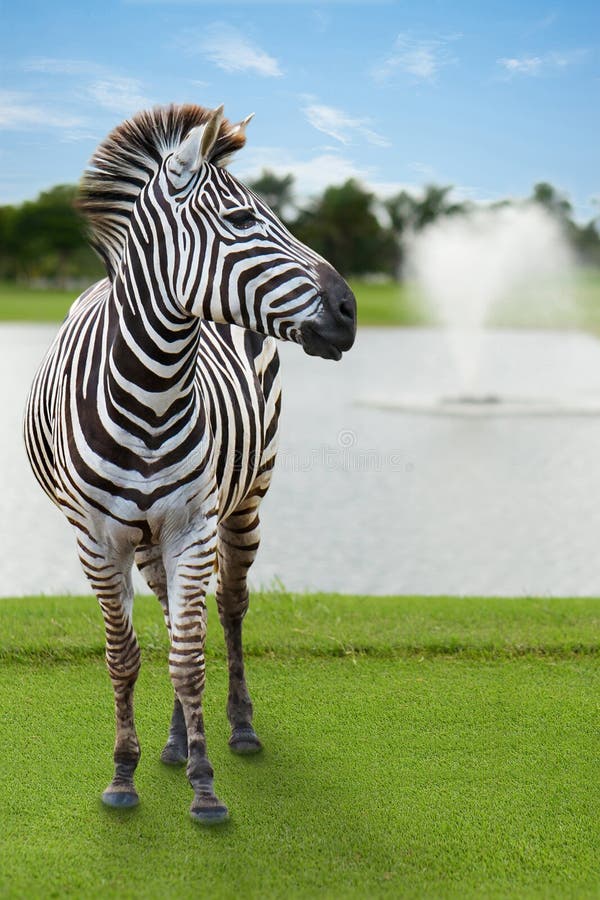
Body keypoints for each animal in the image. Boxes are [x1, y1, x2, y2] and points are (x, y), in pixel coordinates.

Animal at [24, 103, 356, 824]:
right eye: (242, 221)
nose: (350, 311)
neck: (150, 392)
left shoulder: (193, 526)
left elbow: (189, 658)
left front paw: (205, 786)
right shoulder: (97, 540)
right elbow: (126, 657)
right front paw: (124, 775)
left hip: (246, 502)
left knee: (225, 607)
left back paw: (237, 728)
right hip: (148, 539)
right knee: (177, 611)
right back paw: (174, 743)